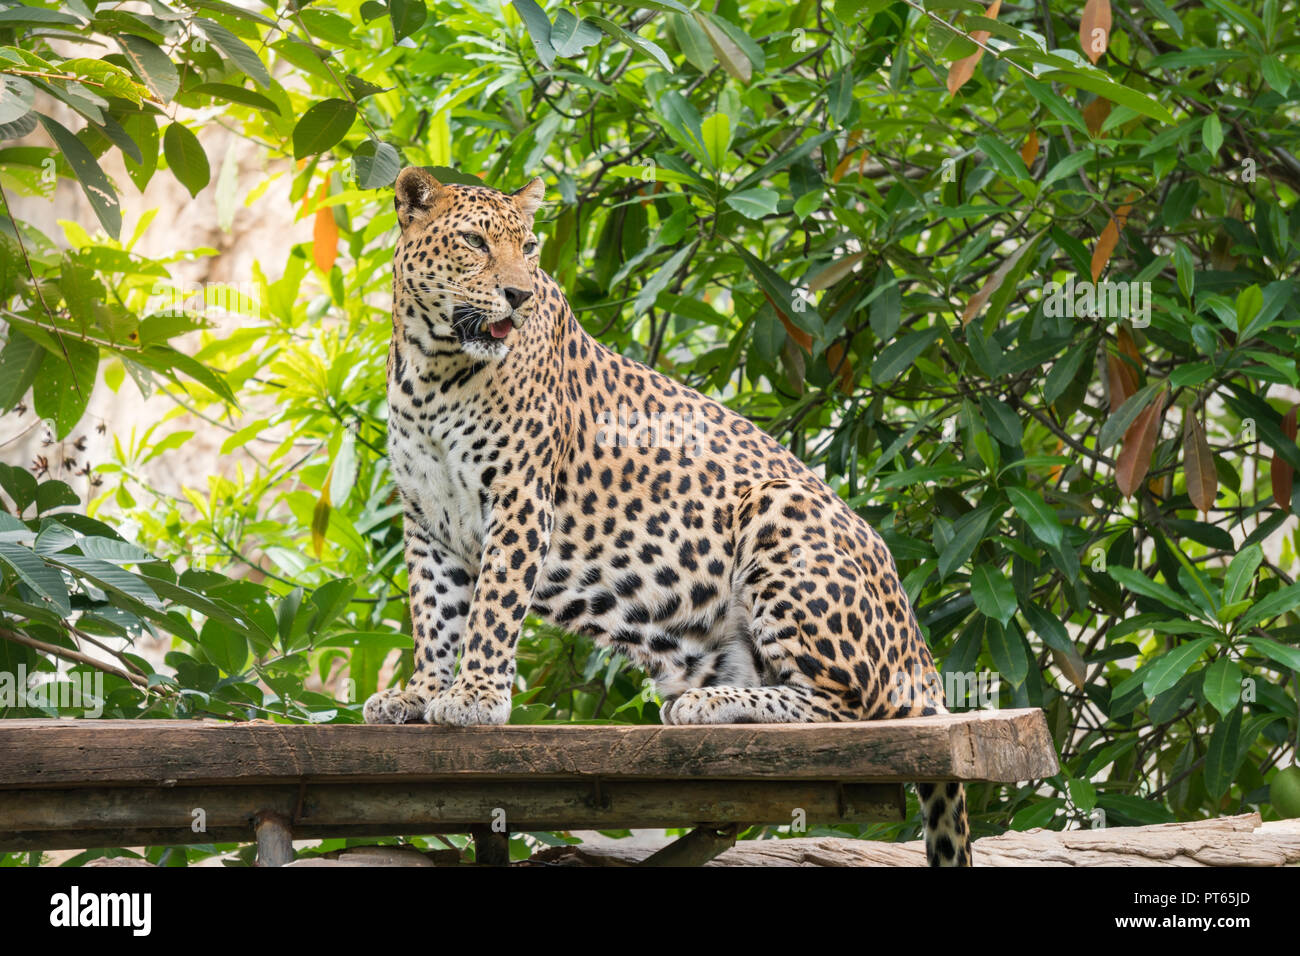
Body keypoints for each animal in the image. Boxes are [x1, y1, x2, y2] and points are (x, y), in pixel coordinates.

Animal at [363, 166, 971, 866]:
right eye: (473, 242)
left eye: (530, 247)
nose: (517, 295)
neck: (432, 367)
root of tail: (921, 652)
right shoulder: (426, 518)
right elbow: (435, 613)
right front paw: (420, 693)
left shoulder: (519, 500)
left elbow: (492, 607)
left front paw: (474, 698)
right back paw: (704, 701)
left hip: (778, 509)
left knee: (851, 706)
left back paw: (711, 704)